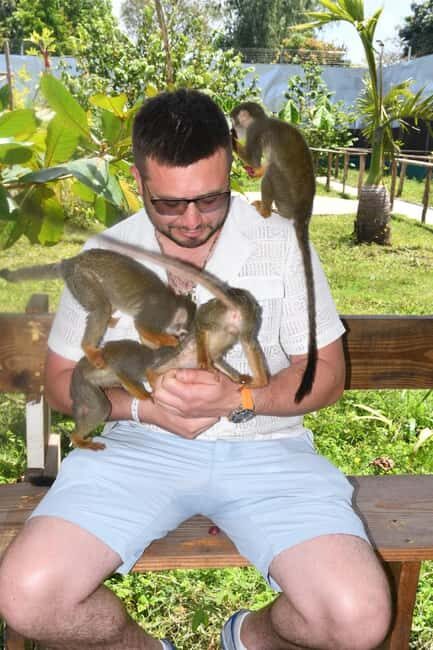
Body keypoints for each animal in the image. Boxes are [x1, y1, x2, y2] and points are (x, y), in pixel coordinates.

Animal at [70, 286, 268, 450]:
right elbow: (126, 373)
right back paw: (78, 438)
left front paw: (238, 378)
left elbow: (220, 359)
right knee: (103, 406)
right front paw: (148, 396)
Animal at [230, 101, 317, 403]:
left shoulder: (257, 131)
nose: (233, 124)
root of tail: (303, 213)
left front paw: (233, 140)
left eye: (236, 118)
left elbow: (256, 160)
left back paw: (267, 209)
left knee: (272, 172)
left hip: (285, 196)